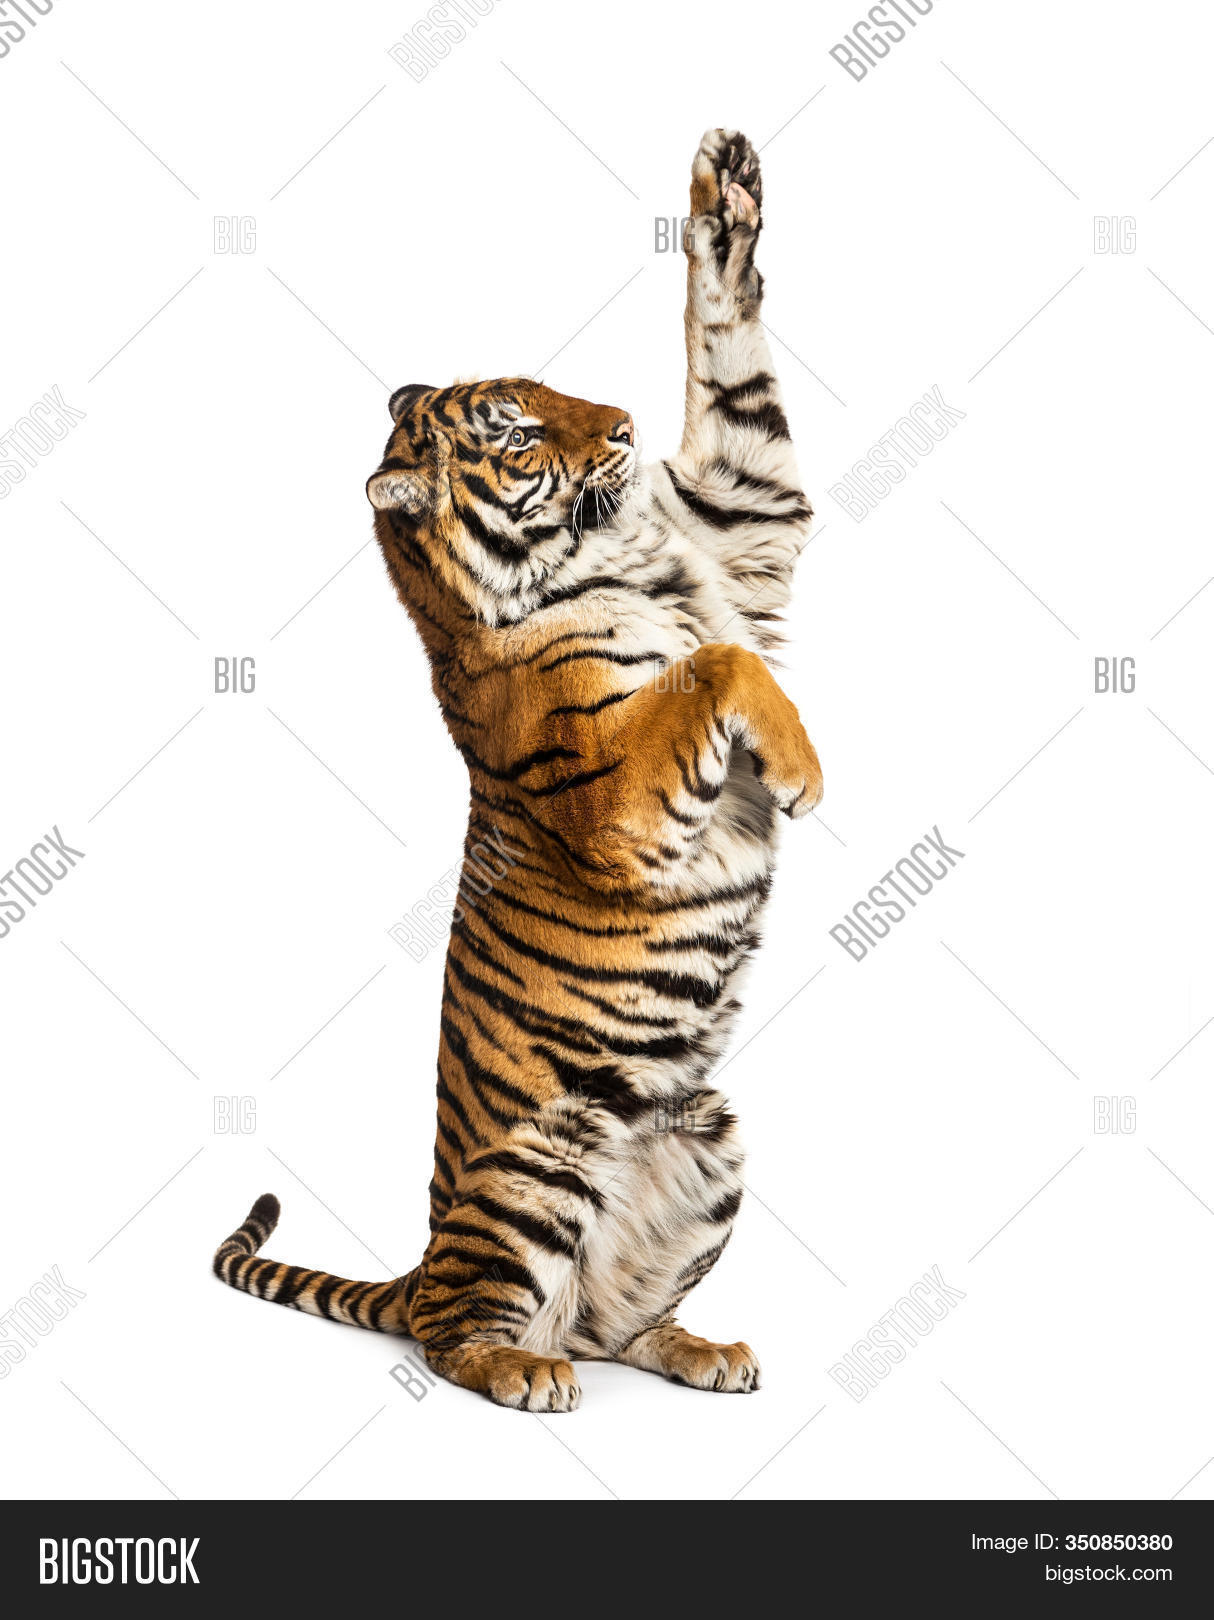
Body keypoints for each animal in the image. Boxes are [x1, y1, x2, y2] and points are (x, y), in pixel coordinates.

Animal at [214, 129, 823, 1411]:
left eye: (543, 393)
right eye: (522, 434)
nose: (623, 422)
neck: (618, 548)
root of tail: (418, 1255)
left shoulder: (746, 518)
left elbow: (730, 369)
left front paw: (727, 189)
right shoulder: (616, 796)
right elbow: (717, 662)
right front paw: (801, 774)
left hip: (706, 1139)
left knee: (613, 1324)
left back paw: (700, 1351)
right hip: (529, 1171)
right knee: (454, 1333)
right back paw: (516, 1370)